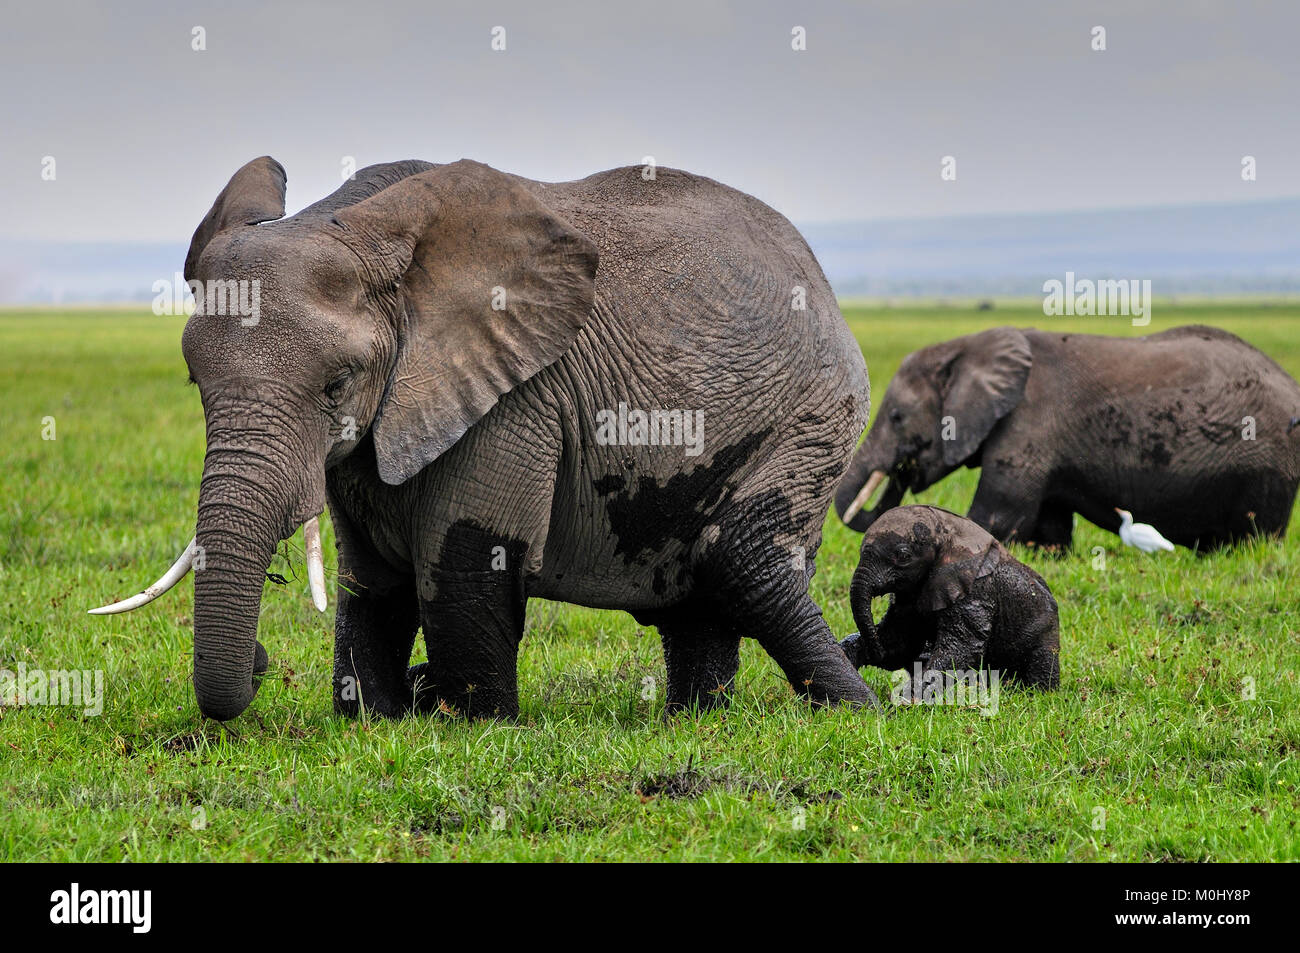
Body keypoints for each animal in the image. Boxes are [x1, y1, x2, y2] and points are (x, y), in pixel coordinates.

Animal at [90, 156, 877, 720]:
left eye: (337, 385)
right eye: (193, 381)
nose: (258, 662)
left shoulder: (515, 397)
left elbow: (466, 560)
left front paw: (474, 722)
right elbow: (373, 578)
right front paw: (376, 717)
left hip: (816, 414)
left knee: (742, 563)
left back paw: (862, 709)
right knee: (696, 598)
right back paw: (692, 720)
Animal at [834, 325, 1300, 551]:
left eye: (897, 417)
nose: (903, 467)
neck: (966, 346)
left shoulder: (1029, 425)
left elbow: (996, 517)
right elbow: (1048, 527)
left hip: (1268, 464)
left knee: (1253, 536)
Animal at [838, 505, 1060, 696]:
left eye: (903, 556)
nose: (876, 652)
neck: (947, 530)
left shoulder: (974, 590)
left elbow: (962, 646)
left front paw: (903, 704)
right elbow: (898, 641)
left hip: (1045, 632)